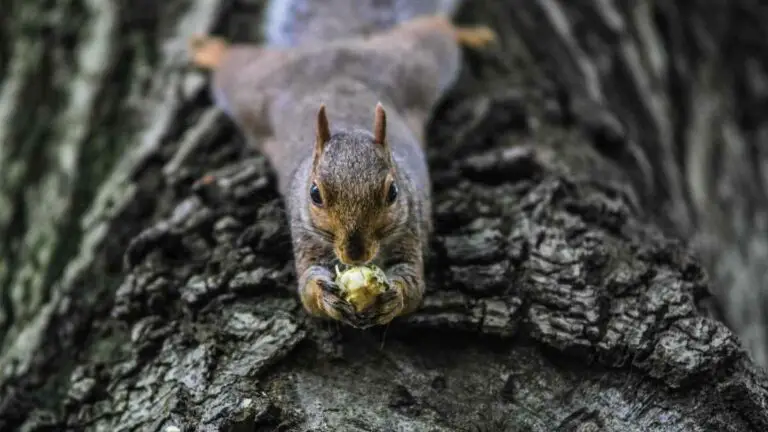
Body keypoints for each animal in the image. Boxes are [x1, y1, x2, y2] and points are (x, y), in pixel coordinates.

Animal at [188, 0, 496, 328]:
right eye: (314, 194)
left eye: (393, 193)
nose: (355, 254)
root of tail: (331, 44)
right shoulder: (305, 234)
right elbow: (307, 289)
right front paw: (324, 295)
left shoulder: (410, 227)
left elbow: (413, 284)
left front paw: (394, 297)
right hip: (255, 87)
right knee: (233, 64)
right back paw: (211, 49)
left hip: (415, 63)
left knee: (436, 30)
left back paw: (470, 33)